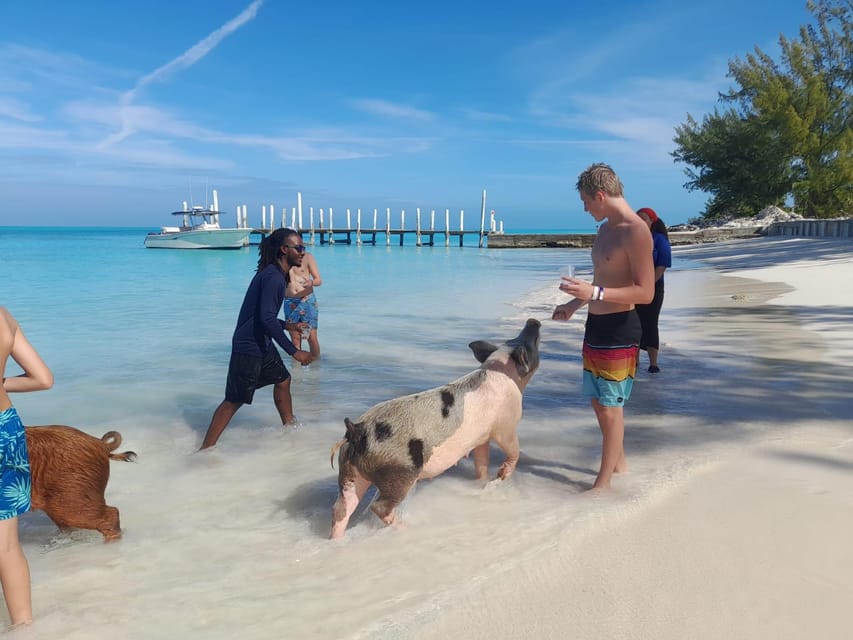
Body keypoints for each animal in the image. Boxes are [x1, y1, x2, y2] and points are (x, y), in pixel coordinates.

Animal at [330, 318, 541, 539]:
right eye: (531, 347)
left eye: (513, 339)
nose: (533, 321)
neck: (500, 369)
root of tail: (357, 430)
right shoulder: (505, 425)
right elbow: (513, 450)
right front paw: (501, 475)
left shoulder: (480, 438)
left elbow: (481, 461)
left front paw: (482, 481)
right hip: (400, 473)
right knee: (379, 507)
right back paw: (407, 528)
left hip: (350, 471)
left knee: (341, 508)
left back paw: (337, 539)